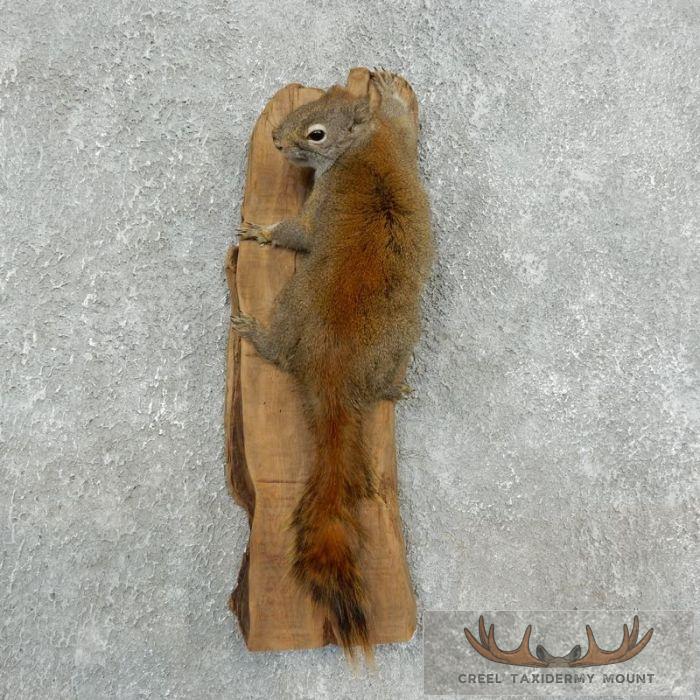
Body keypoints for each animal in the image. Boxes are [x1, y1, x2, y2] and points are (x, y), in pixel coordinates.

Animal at [232, 69, 434, 659]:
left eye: (315, 132)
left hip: (292, 302)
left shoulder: (322, 202)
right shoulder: (399, 143)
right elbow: (405, 125)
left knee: (281, 348)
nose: (276, 140)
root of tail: (334, 372)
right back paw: (392, 387)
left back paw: (258, 334)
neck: (362, 147)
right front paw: (389, 90)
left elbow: (298, 233)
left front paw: (264, 232)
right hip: (399, 342)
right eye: (320, 99)